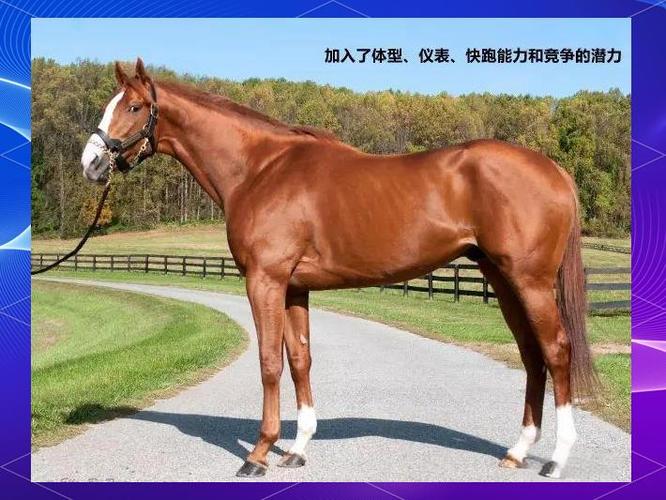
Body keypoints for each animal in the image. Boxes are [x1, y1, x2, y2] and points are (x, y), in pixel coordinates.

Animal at [80, 59, 596, 479]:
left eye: (132, 107)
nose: (92, 162)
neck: (260, 169)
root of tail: (554, 170)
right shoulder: (293, 288)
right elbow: (299, 359)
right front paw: (296, 449)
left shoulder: (264, 281)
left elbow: (269, 362)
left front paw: (258, 453)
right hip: (502, 280)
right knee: (531, 356)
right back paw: (517, 450)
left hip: (529, 282)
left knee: (556, 351)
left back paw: (556, 458)